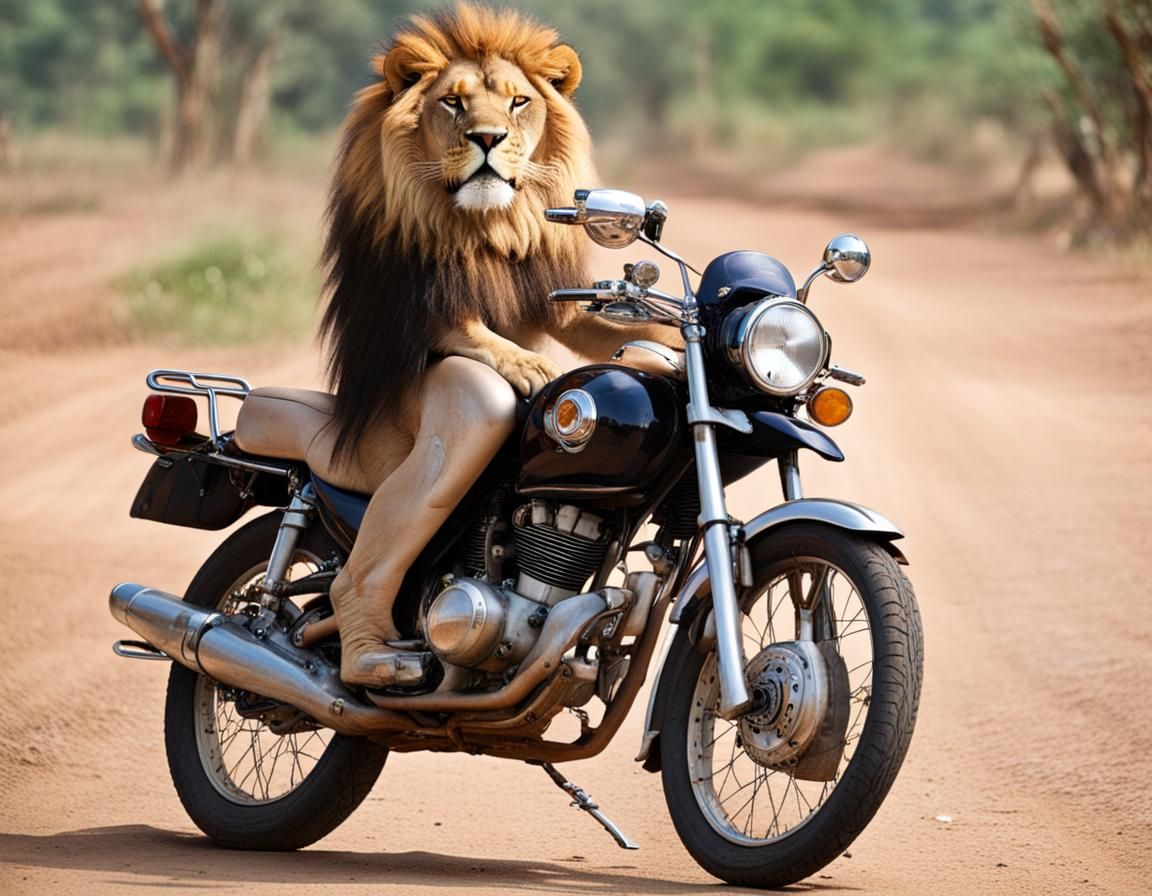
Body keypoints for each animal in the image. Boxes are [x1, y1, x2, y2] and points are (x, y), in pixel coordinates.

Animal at [236, 4, 677, 687]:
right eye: (452, 103)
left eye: (519, 102)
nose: (488, 139)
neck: (484, 223)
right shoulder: (410, 300)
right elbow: (468, 332)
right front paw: (532, 365)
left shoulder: (557, 295)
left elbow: (616, 323)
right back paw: (367, 656)